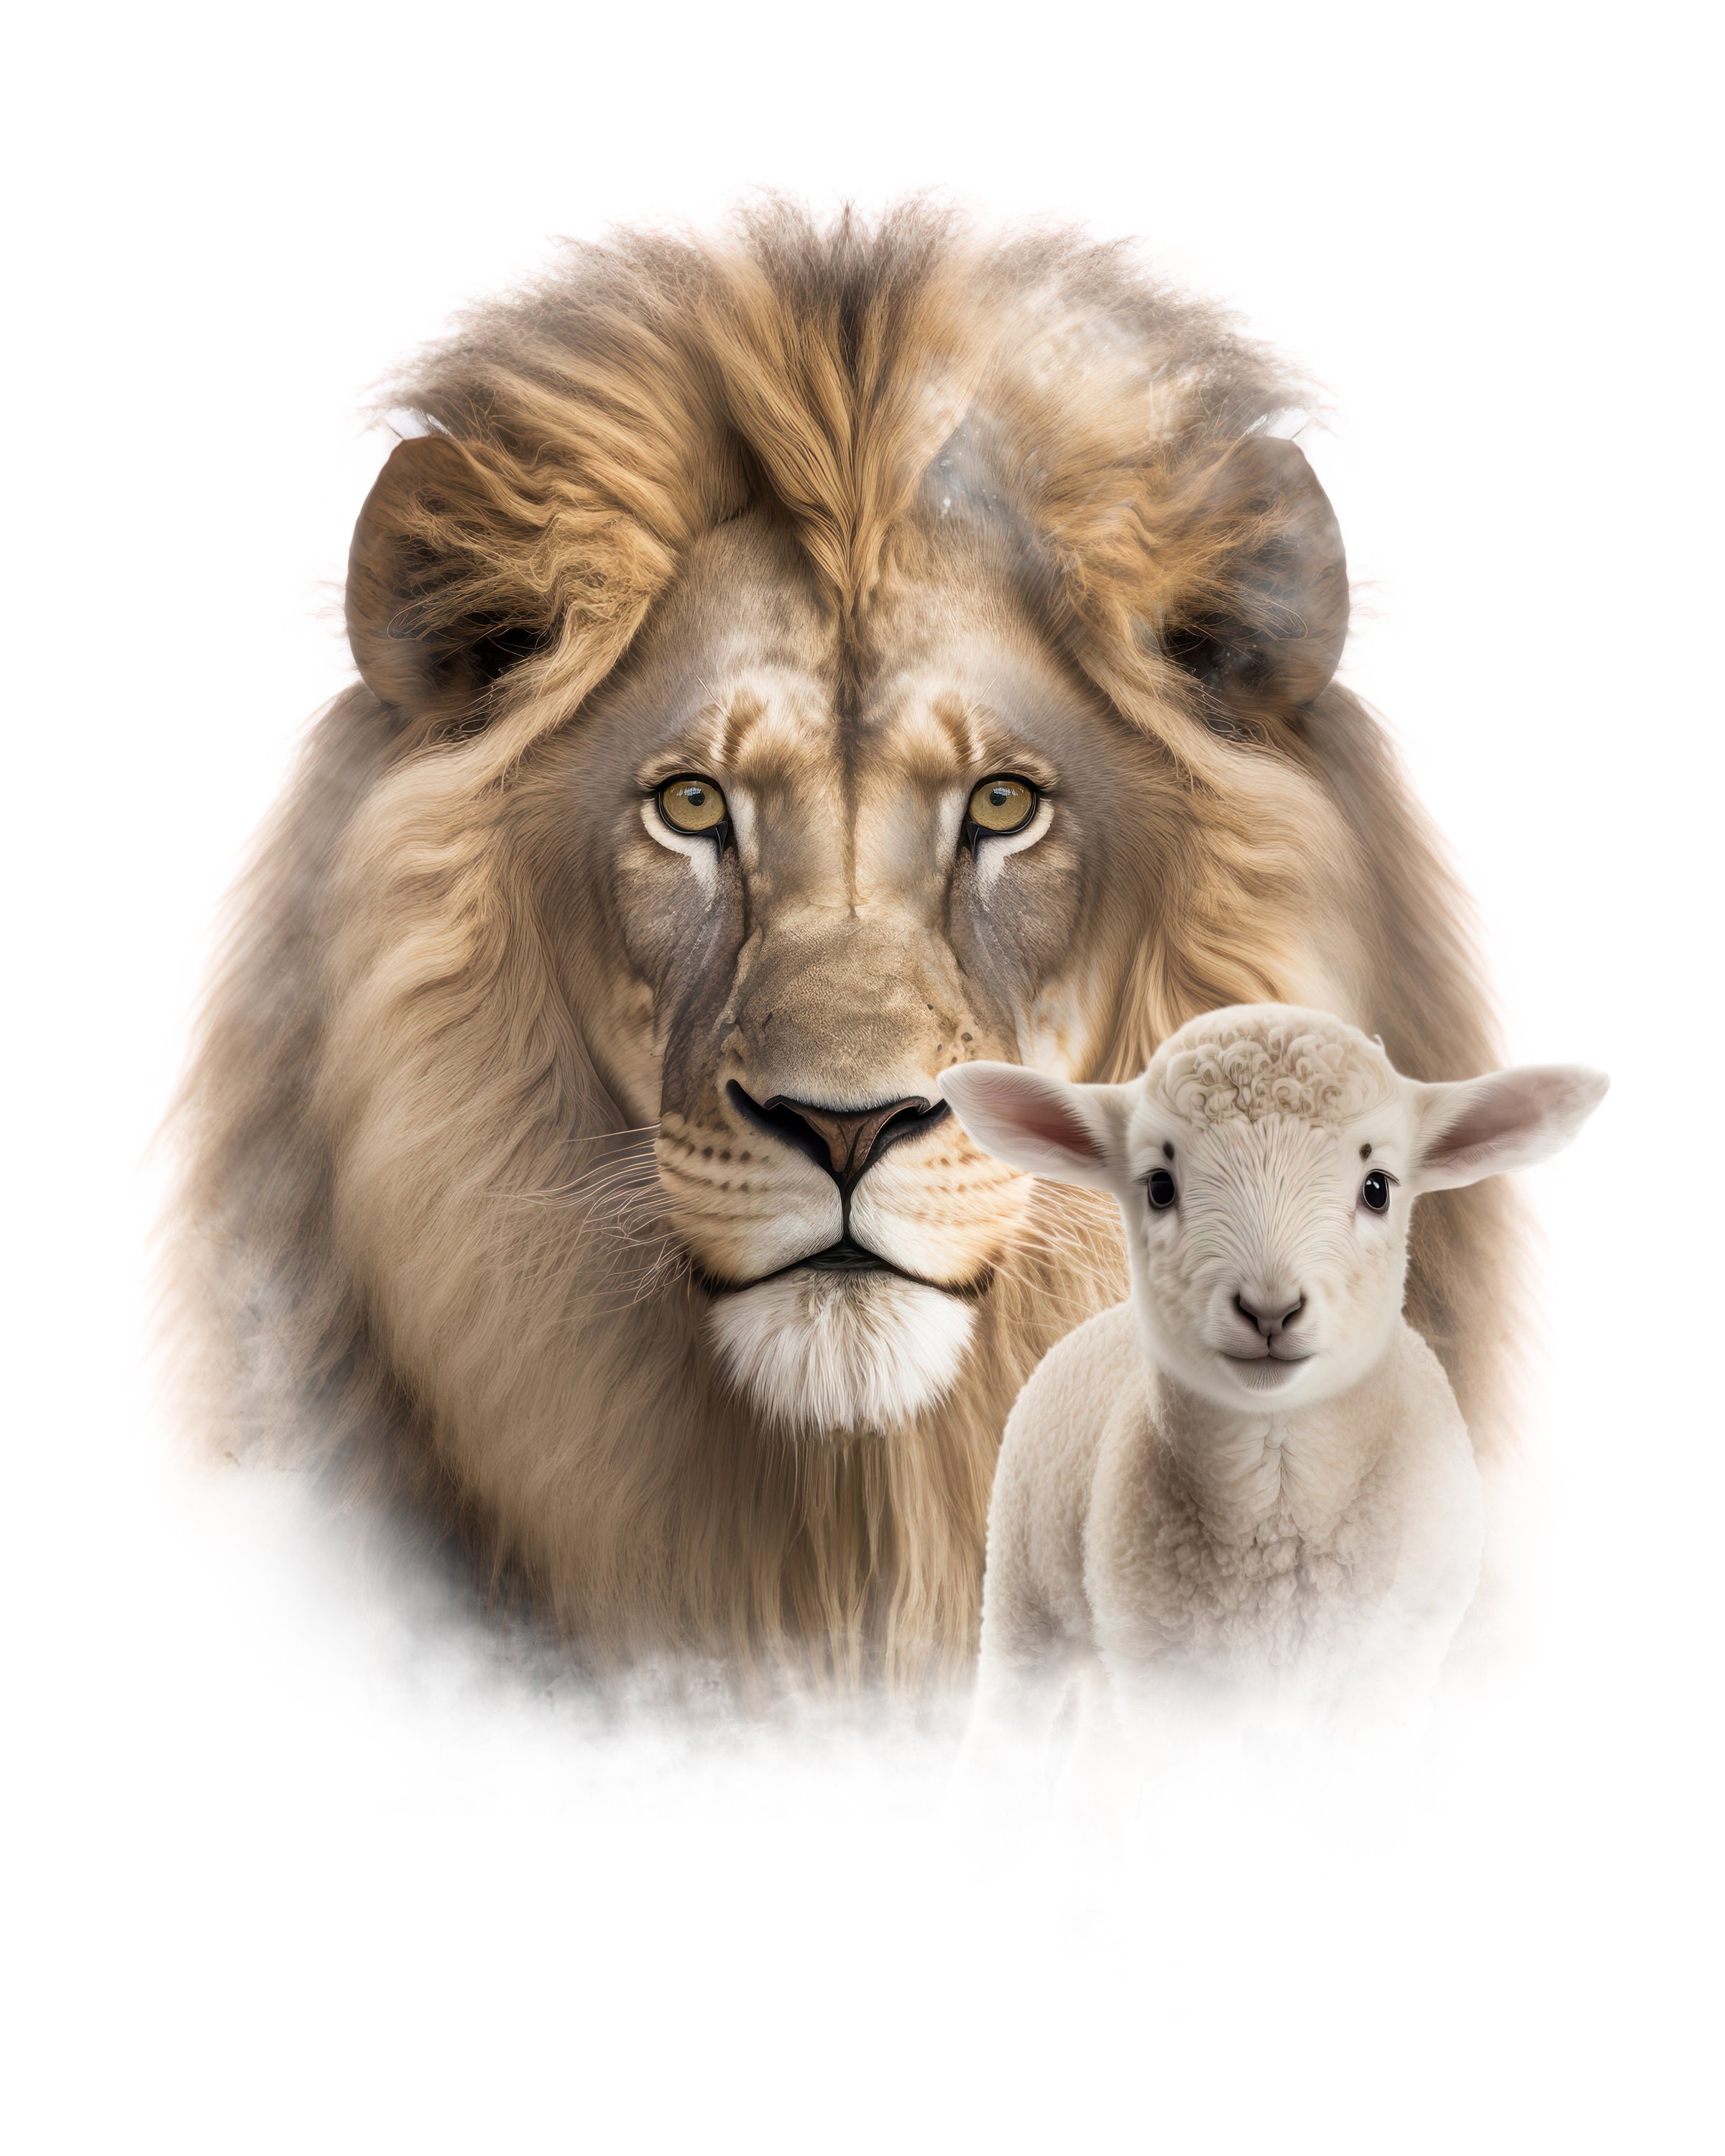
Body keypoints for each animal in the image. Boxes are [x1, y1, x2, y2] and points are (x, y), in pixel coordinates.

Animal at [939, 1006, 1607, 1754]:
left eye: (1377, 1188)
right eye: (1159, 1186)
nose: (1269, 1309)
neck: (1280, 1515)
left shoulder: (1388, 1668)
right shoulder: (1169, 1685)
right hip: (1026, 1592)